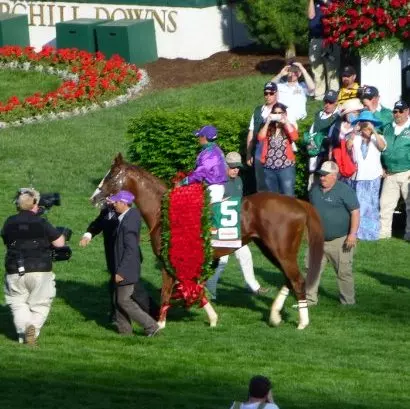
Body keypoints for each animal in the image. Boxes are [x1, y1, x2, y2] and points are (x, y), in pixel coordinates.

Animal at [90, 153, 324, 328]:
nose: (94, 198)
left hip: (281, 249)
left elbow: (167, 290)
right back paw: (275, 315)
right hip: (270, 248)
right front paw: (212, 318)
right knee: (290, 278)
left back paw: (302, 322)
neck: (165, 212)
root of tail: (298, 202)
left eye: (111, 176)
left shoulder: (168, 260)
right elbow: (195, 288)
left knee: (297, 280)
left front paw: (160, 324)